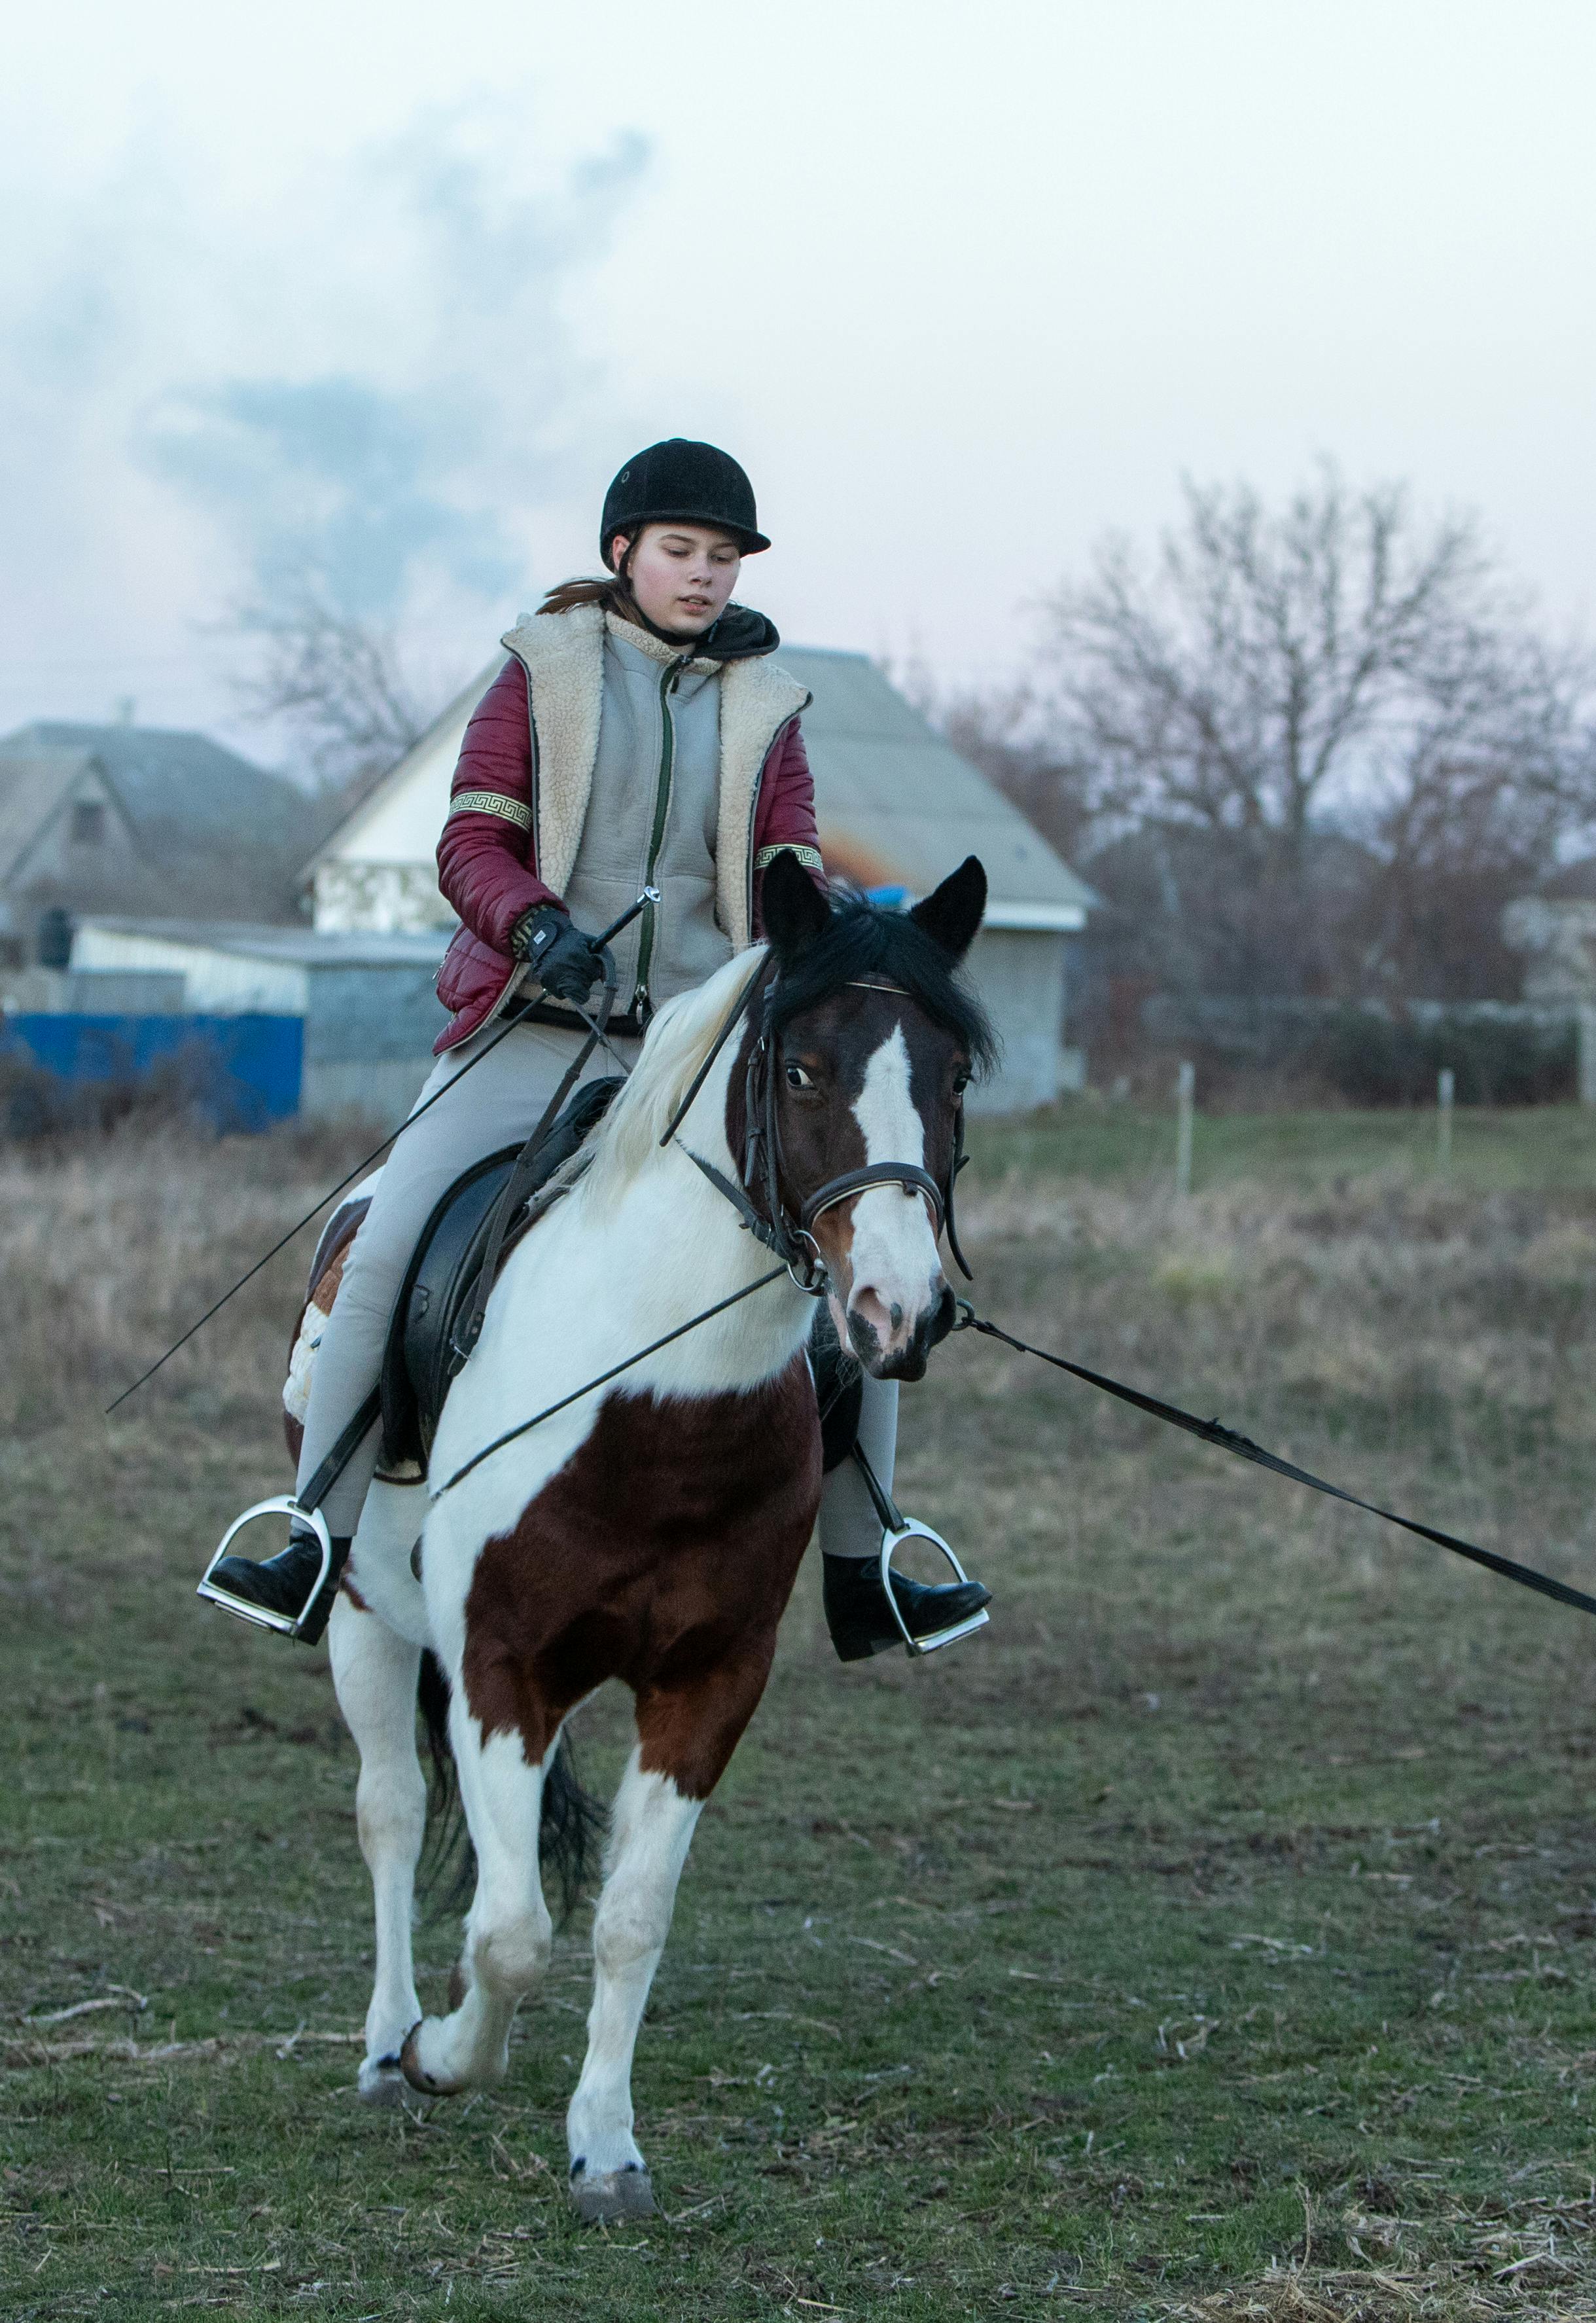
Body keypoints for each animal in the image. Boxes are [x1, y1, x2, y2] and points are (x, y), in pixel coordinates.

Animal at [306, 851, 994, 2222]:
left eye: (948, 1076)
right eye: (801, 1069)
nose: (899, 1309)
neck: (661, 1400)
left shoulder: (707, 1679)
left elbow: (628, 1914)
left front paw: (605, 2148)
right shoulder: (501, 1663)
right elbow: (511, 1929)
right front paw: (444, 2054)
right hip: (365, 1618)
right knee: (390, 1810)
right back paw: (386, 2043)